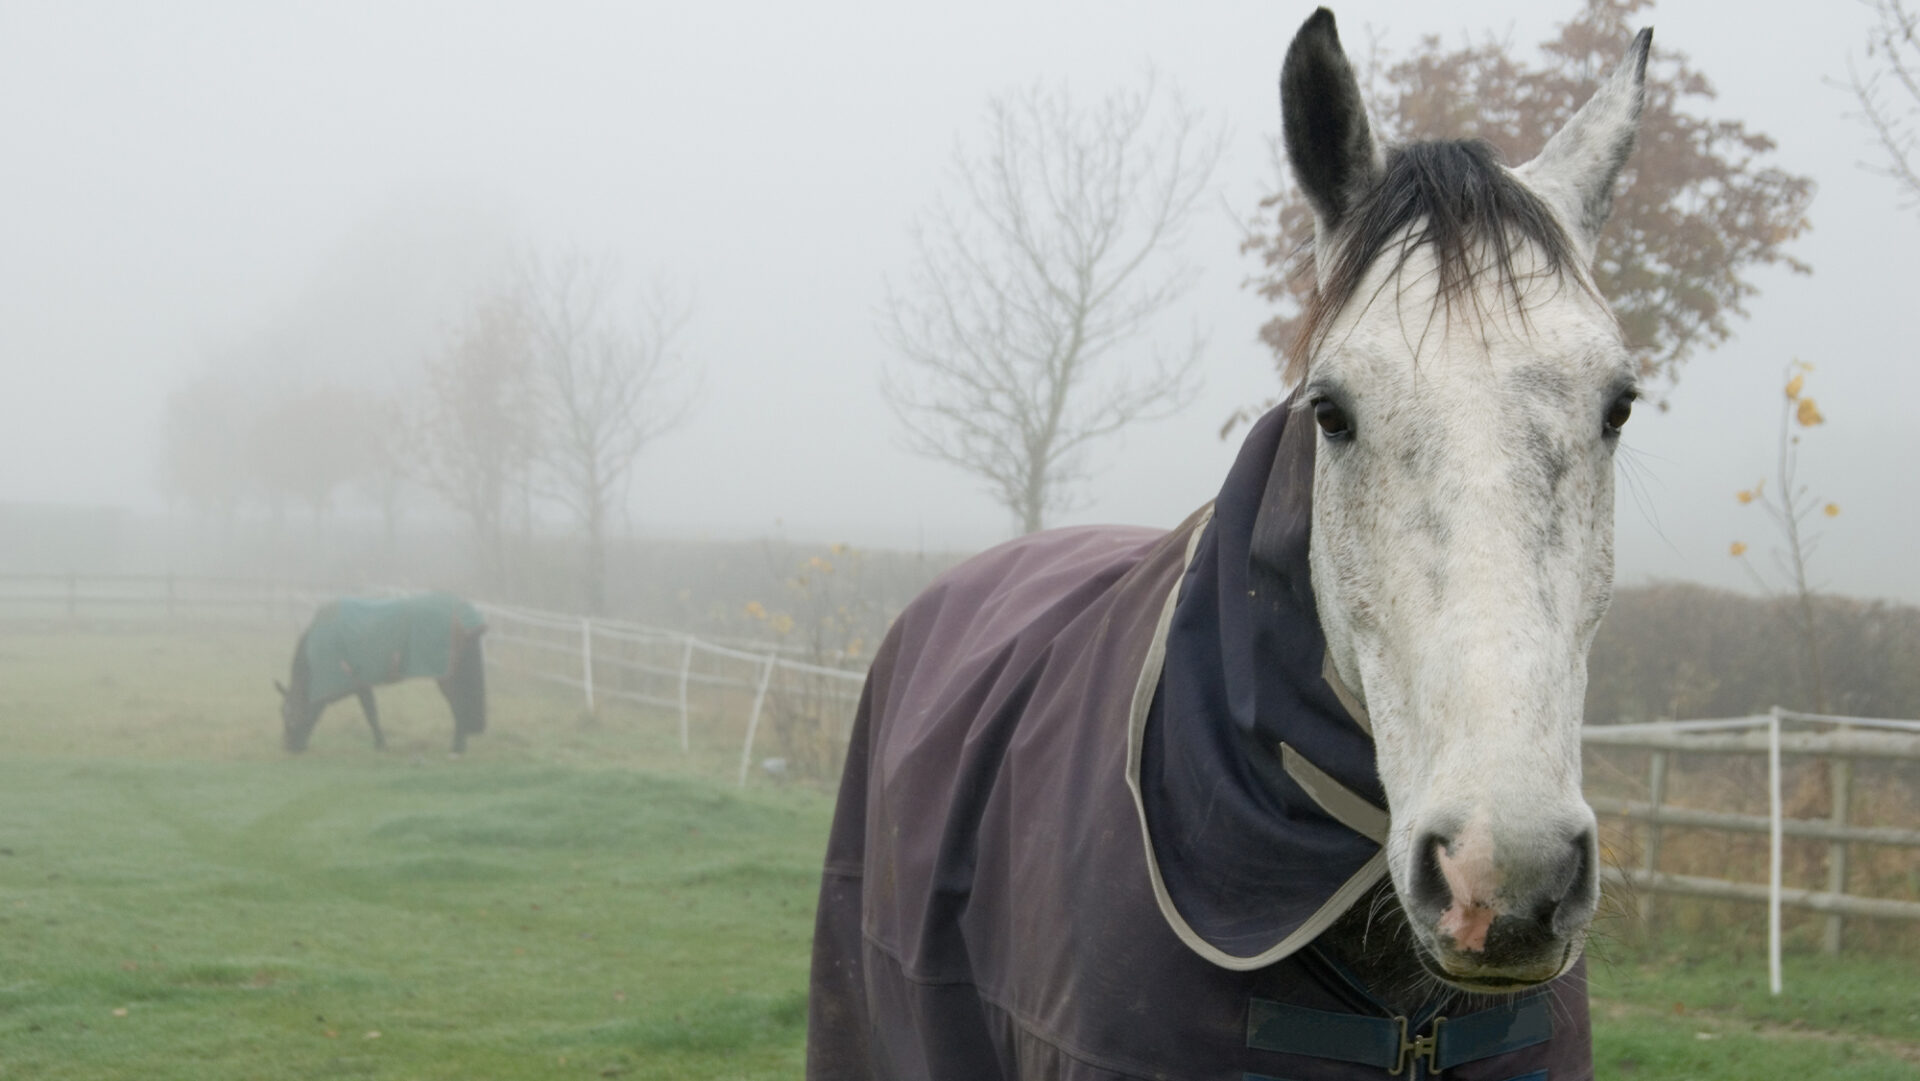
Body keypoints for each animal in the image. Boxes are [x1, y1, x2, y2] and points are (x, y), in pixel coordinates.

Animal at [275, 592, 488, 755]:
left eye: (290, 716)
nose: (289, 747)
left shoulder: (359, 684)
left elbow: (371, 714)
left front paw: (380, 744)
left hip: (446, 676)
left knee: (458, 706)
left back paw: (457, 748)